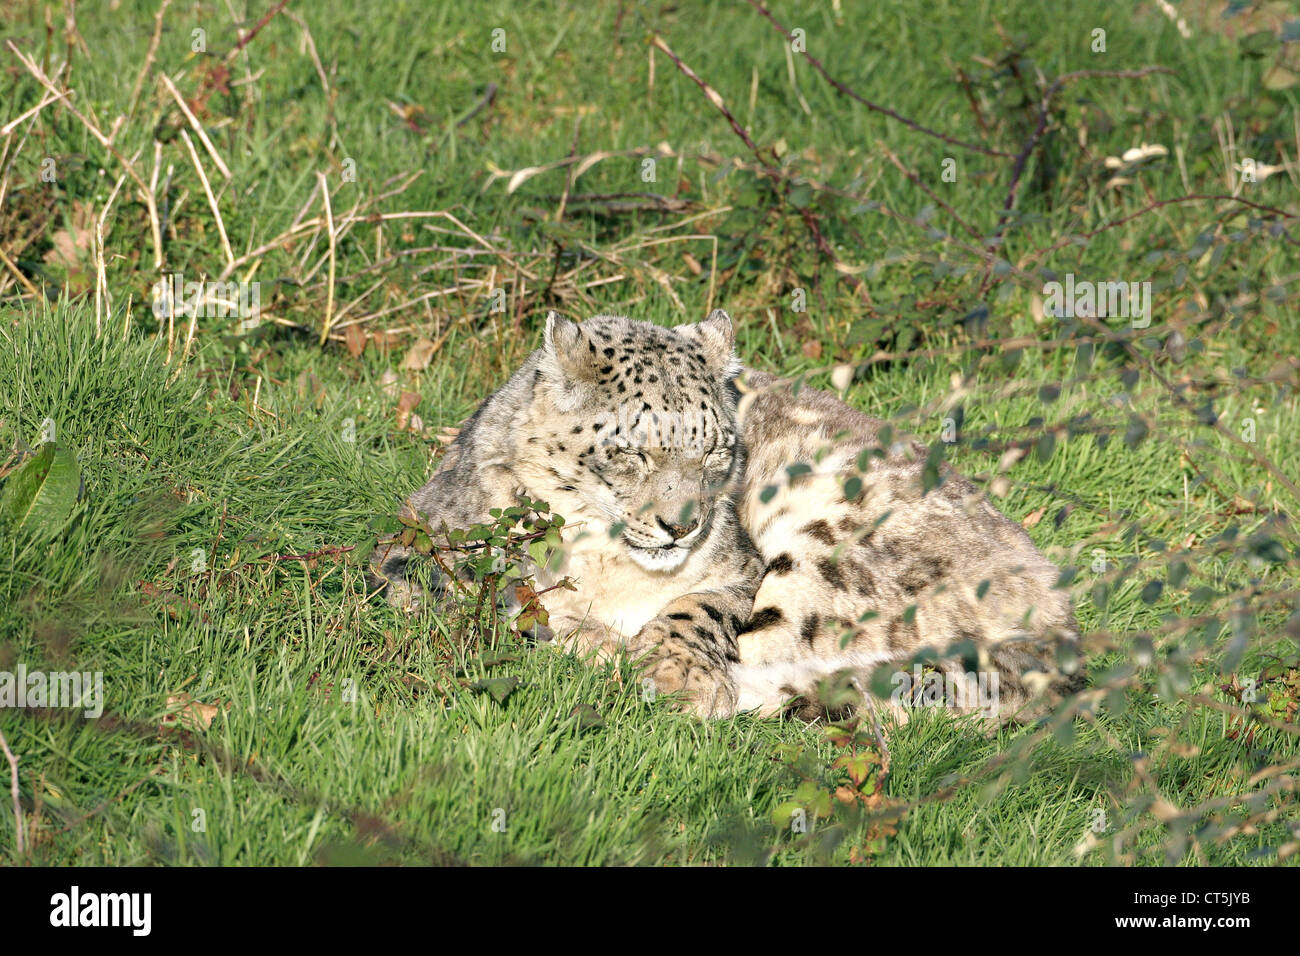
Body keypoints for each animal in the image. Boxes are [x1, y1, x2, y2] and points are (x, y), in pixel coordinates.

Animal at [369, 309, 1082, 724]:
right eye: (631, 450)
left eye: (713, 448)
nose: (681, 526)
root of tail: (1054, 603)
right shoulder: (424, 549)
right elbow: (512, 599)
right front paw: (596, 640)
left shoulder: (743, 568)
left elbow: (701, 607)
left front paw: (675, 674)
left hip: (822, 543)